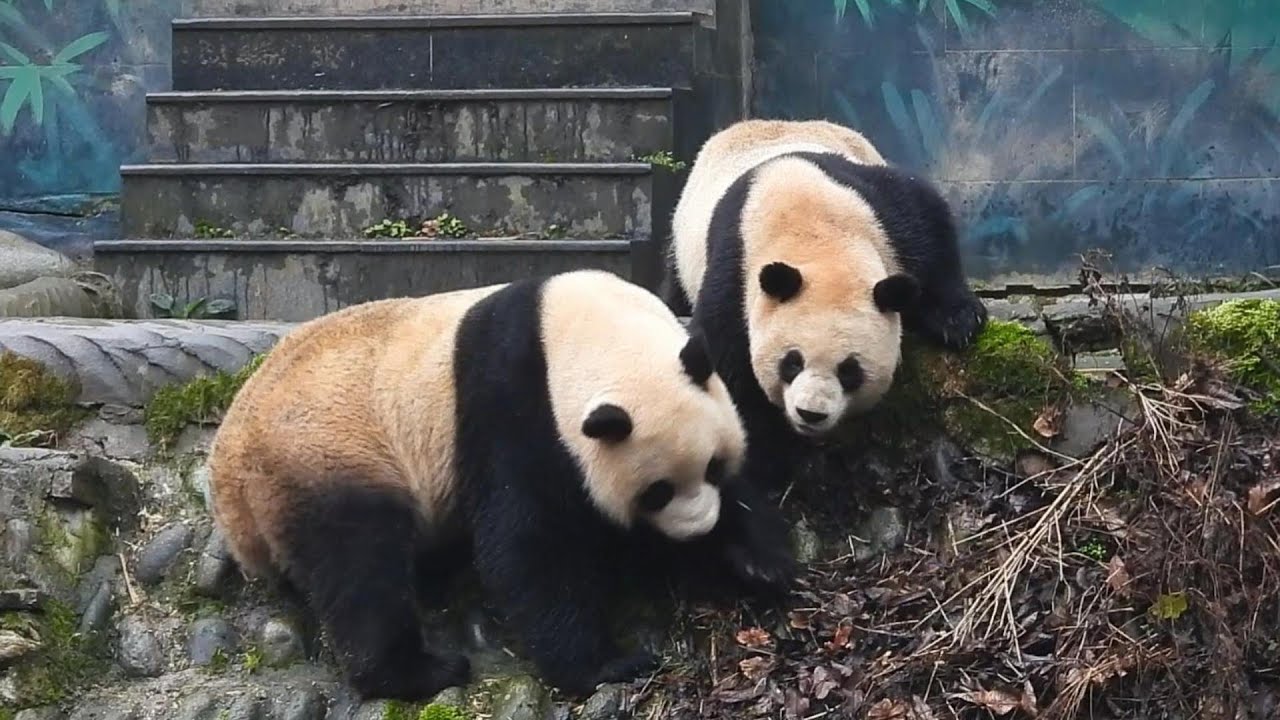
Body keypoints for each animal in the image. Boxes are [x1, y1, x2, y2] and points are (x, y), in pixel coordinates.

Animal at [207, 269, 795, 702]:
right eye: (657, 491)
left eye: (713, 467)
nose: (698, 529)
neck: (573, 333)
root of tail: (228, 476)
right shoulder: (511, 408)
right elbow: (527, 544)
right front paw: (608, 663)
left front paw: (758, 561)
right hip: (325, 456)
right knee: (360, 566)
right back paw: (420, 670)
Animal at [665, 118, 988, 488]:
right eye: (791, 363)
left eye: (850, 370)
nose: (811, 413)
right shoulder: (735, 273)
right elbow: (726, 370)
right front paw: (762, 466)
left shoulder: (882, 212)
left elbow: (931, 230)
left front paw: (957, 321)